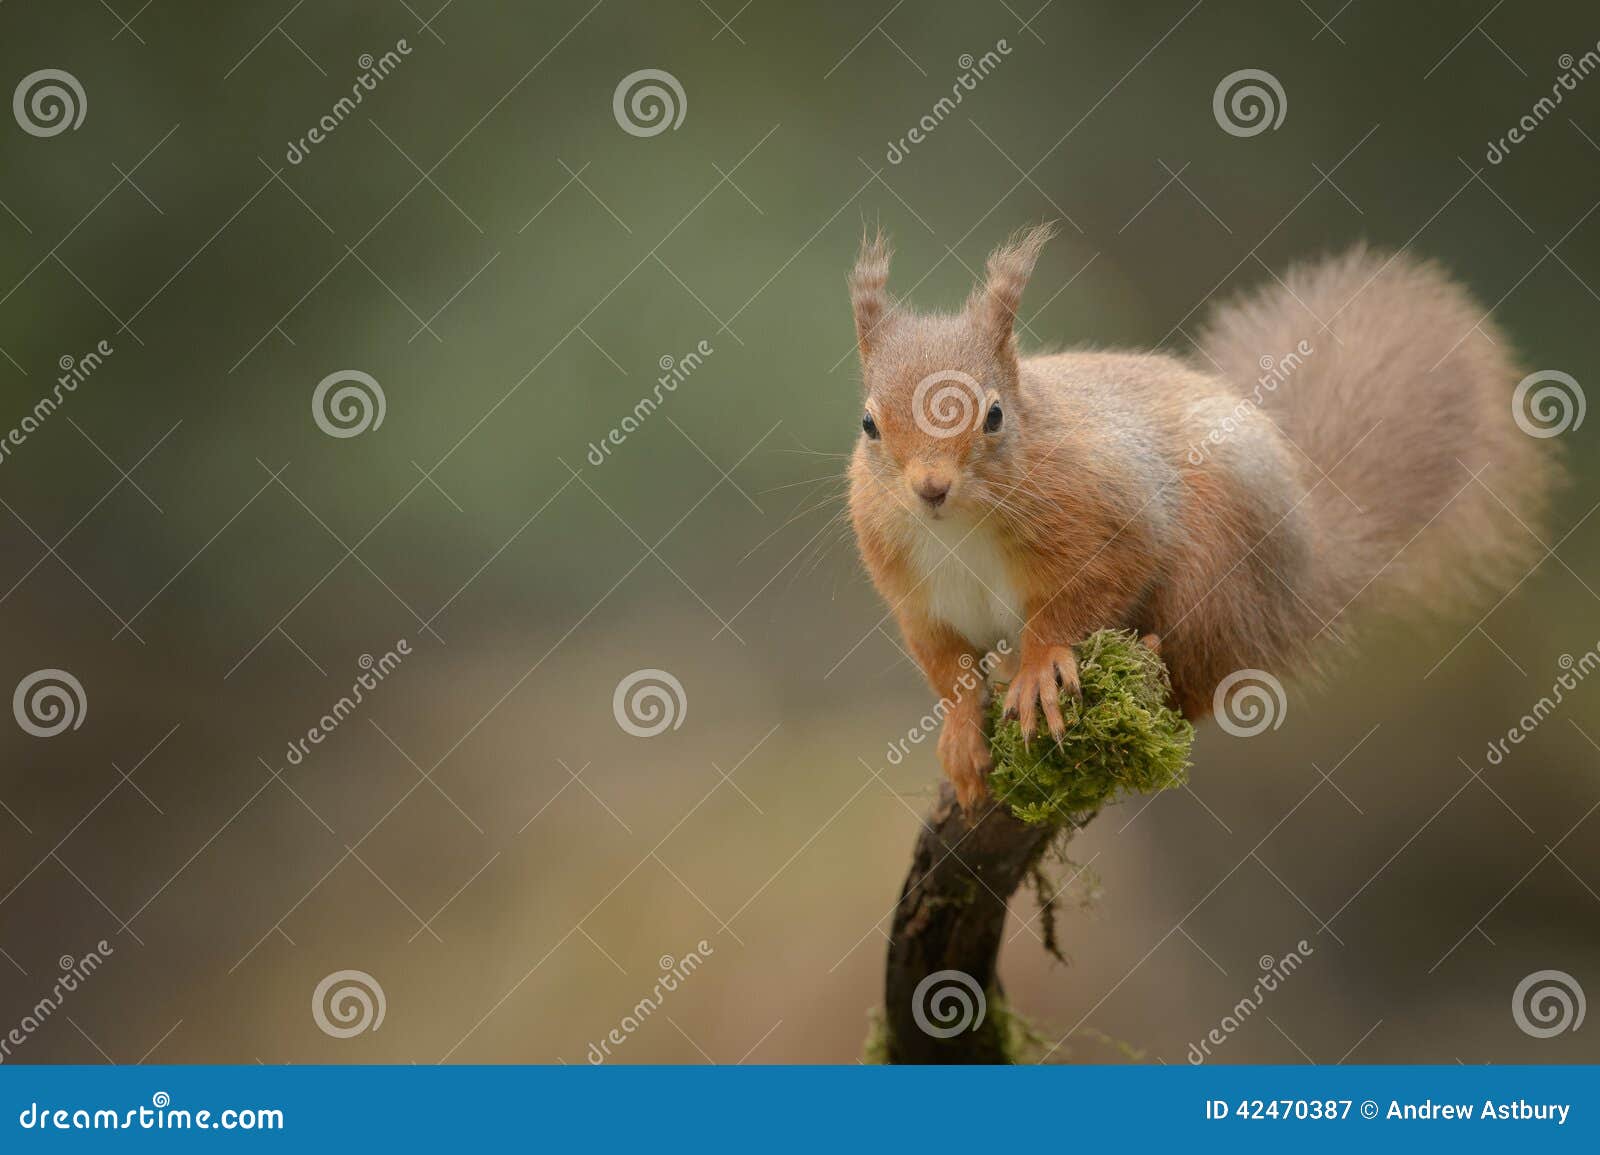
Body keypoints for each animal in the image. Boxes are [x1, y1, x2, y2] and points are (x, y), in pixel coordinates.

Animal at [846, 223, 1559, 811]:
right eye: (869, 424)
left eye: (994, 415)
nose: (931, 488)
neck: (959, 530)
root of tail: (1301, 579)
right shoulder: (915, 596)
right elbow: (949, 668)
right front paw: (962, 737)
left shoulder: (1110, 514)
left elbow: (1088, 590)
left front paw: (1041, 668)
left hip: (1215, 576)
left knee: (1196, 684)